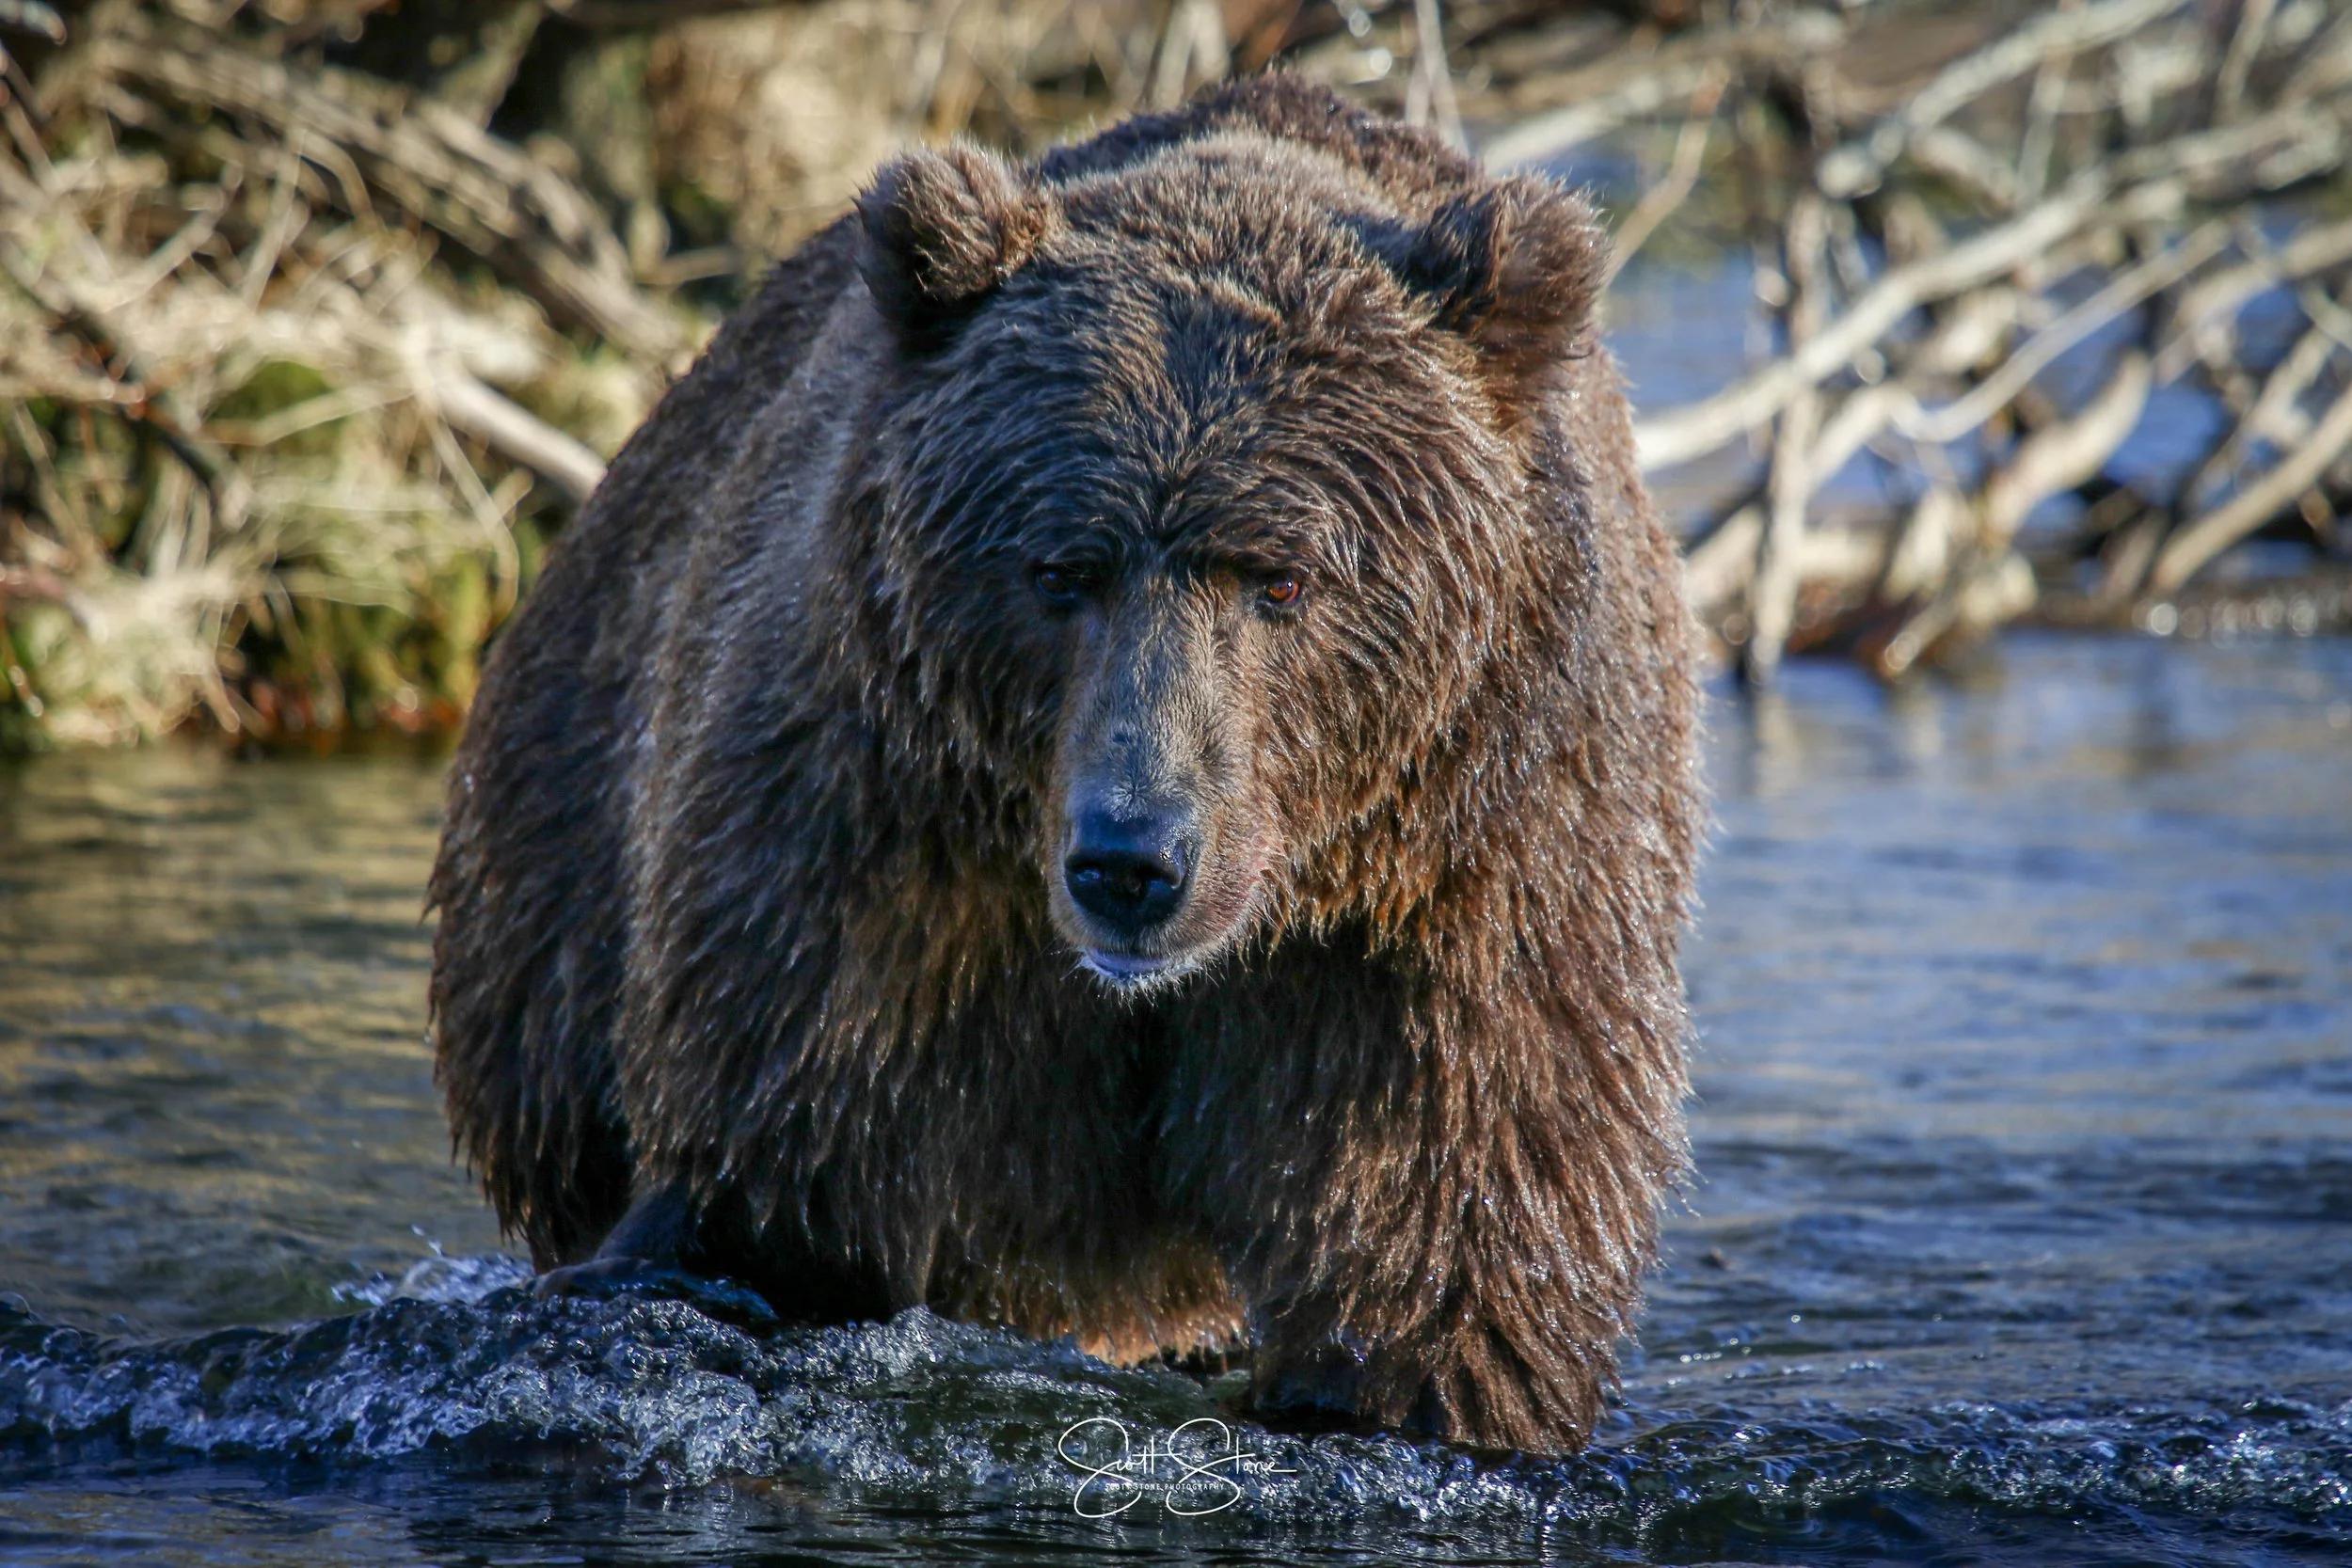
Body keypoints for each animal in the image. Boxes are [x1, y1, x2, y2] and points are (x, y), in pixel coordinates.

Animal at [427, 75, 1702, 1456]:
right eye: (1059, 569)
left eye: (1282, 577)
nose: (1132, 859)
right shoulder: (874, 861)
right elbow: (774, 1197)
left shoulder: (1465, 885)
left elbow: (1448, 1258)